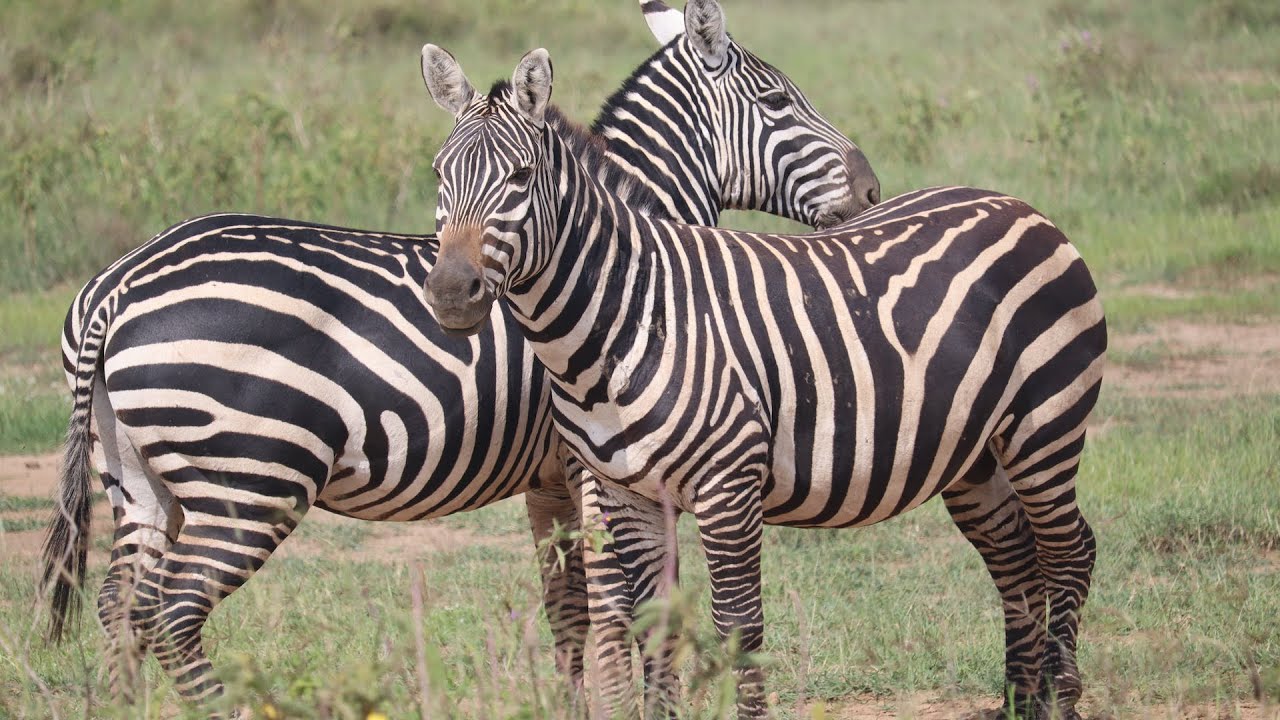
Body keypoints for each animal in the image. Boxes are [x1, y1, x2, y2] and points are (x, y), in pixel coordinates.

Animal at [41, 0, 880, 710]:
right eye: (778, 102)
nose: (872, 188)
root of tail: (117, 284)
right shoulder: (592, 468)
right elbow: (613, 617)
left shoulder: (548, 478)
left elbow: (567, 612)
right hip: (250, 479)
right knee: (171, 616)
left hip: (140, 481)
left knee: (120, 607)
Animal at [420, 44, 1105, 720]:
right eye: (438, 175)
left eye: (520, 177)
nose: (451, 294)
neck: (630, 314)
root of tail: (1018, 205)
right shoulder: (624, 492)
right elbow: (656, 624)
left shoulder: (728, 487)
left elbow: (737, 628)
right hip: (971, 450)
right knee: (1016, 559)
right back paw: (1022, 701)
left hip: (1045, 426)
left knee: (1069, 550)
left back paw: (1061, 696)